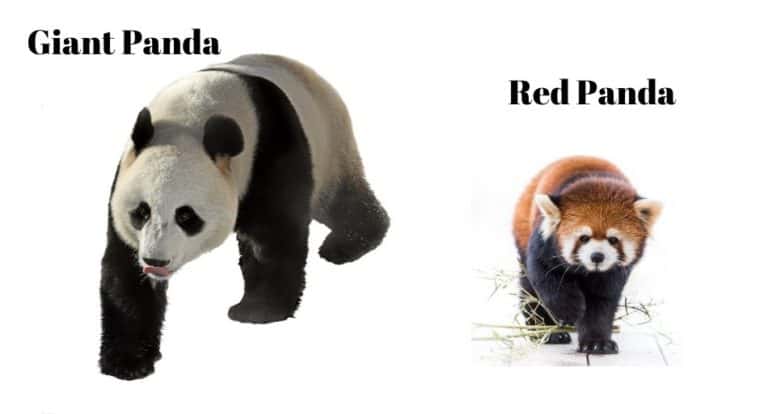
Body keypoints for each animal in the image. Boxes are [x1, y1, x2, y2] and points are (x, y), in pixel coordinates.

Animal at [100, 54, 389, 380]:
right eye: (141, 212)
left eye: (186, 216)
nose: (155, 261)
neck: (191, 119)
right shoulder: (126, 179)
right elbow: (124, 272)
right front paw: (127, 361)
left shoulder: (270, 151)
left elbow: (273, 237)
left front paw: (257, 311)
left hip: (329, 145)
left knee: (341, 201)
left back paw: (347, 243)